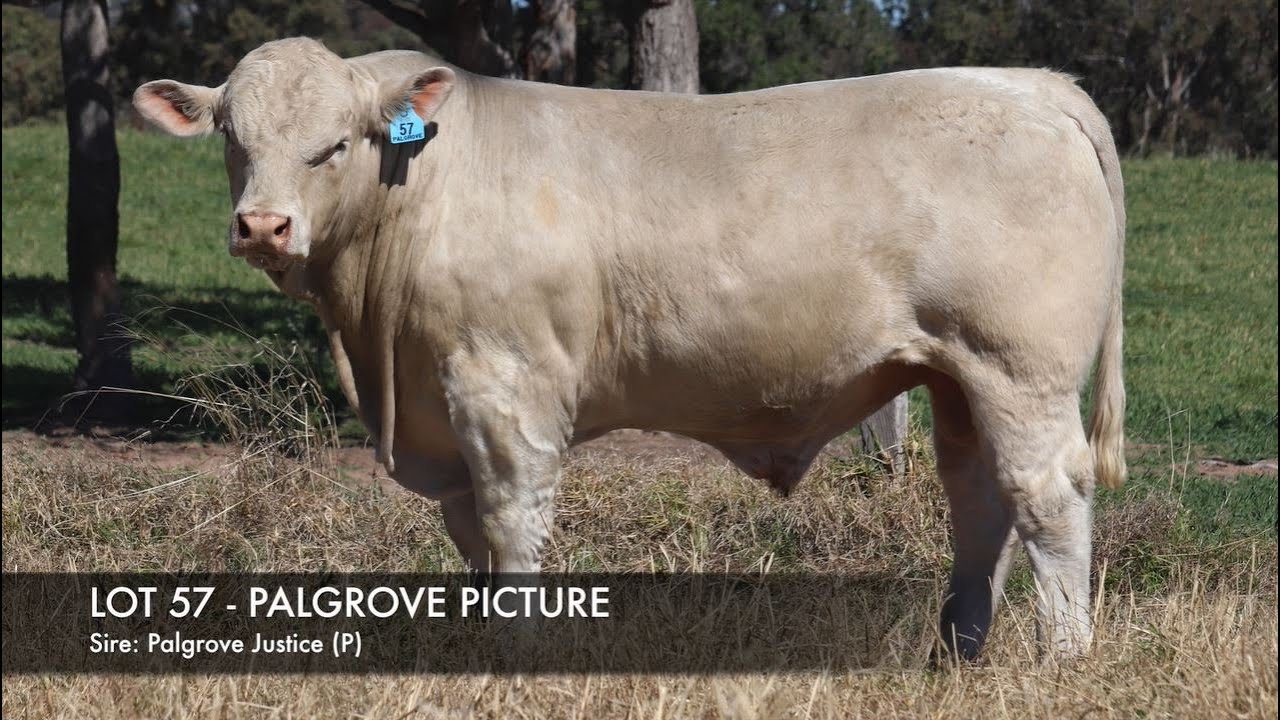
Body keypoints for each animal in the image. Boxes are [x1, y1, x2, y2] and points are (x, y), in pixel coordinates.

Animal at [134, 37, 1127, 660]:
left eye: (333, 145)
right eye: (233, 138)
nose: (263, 226)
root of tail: (1030, 83)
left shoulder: (506, 386)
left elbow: (512, 521)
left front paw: (516, 655)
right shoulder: (442, 411)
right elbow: (471, 536)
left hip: (1019, 370)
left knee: (1047, 500)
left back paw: (1065, 657)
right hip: (956, 377)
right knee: (978, 502)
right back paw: (953, 654)